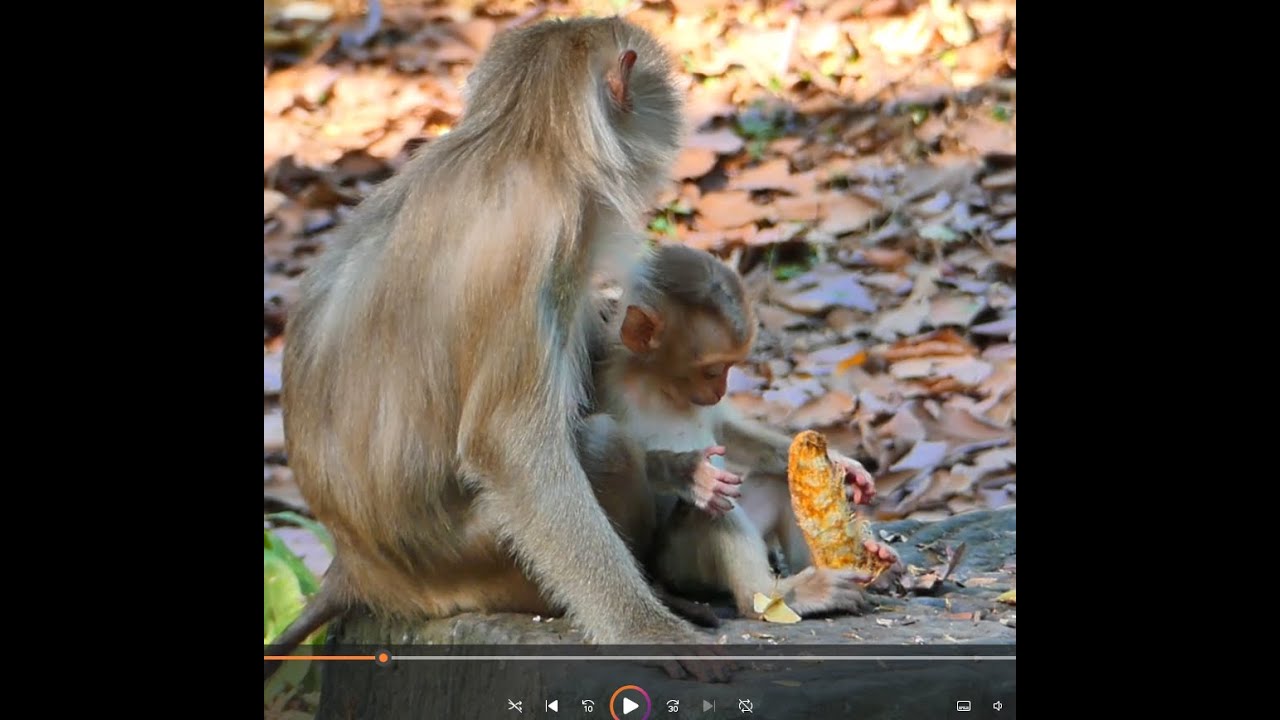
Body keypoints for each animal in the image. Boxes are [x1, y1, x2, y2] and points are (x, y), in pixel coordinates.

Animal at [274, 16, 728, 682]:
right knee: (600, 443)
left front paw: (683, 469)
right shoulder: (542, 237)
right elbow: (510, 447)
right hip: (479, 562)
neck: (519, 140)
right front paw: (645, 629)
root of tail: (356, 566)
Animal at [590, 244, 901, 618]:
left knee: (780, 480)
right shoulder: (607, 385)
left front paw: (846, 466)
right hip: (678, 567)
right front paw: (690, 473)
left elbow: (730, 432)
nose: (721, 389)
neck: (657, 385)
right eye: (712, 370)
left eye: (730, 368)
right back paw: (778, 595)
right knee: (712, 512)